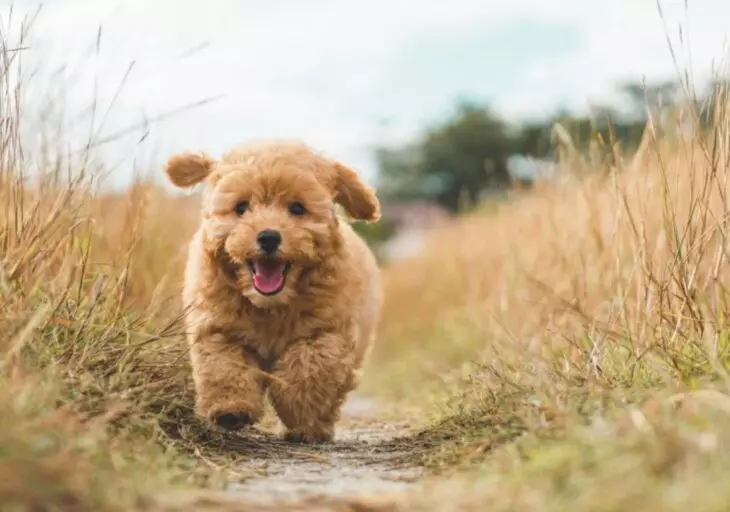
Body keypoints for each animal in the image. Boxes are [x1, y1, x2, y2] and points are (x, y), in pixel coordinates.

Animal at [164, 140, 382, 444]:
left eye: (297, 208)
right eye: (241, 207)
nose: (268, 237)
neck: (271, 306)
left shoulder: (327, 331)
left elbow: (309, 368)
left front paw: (297, 408)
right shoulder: (218, 326)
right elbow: (223, 365)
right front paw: (230, 409)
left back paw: (312, 429)